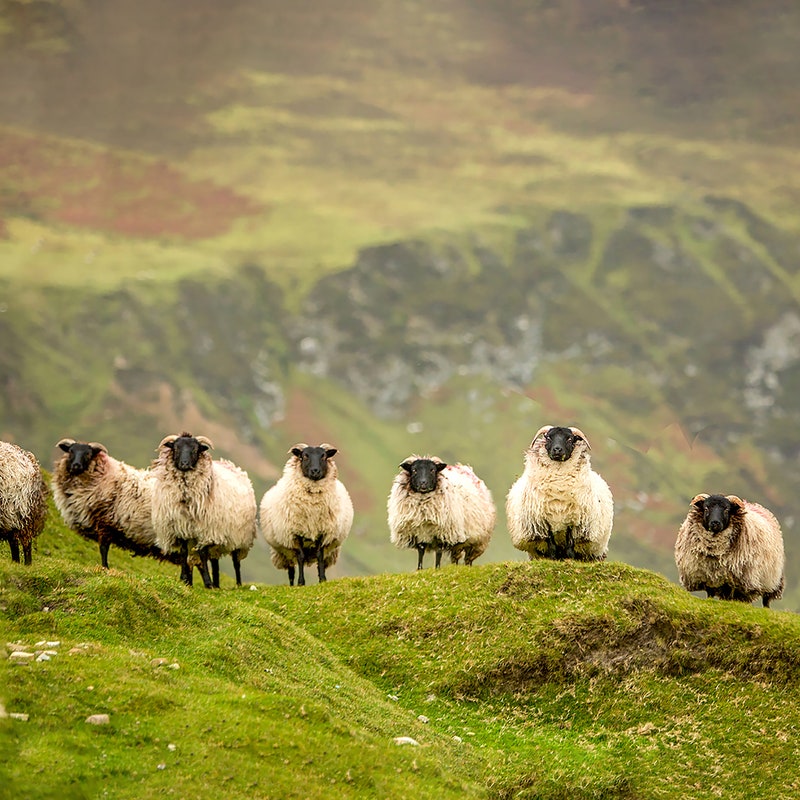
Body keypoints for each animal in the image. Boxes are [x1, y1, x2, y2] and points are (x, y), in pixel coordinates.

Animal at [51, 438, 173, 570]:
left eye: (88, 454)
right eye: (71, 451)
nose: (76, 465)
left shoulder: (105, 522)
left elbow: (103, 548)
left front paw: (105, 568)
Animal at [151, 432, 257, 588]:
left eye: (195, 449)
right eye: (176, 448)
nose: (184, 464)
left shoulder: (204, 530)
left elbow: (202, 554)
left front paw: (207, 582)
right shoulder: (181, 528)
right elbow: (184, 554)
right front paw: (186, 580)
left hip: (239, 536)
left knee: (235, 562)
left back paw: (237, 584)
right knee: (214, 560)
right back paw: (216, 584)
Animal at [259, 443, 353, 586]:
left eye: (324, 456)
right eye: (304, 456)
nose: (315, 471)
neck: (312, 506)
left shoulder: (322, 532)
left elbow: (320, 556)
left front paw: (322, 580)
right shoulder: (295, 533)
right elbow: (301, 557)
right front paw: (301, 583)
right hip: (285, 551)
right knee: (291, 569)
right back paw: (292, 585)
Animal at [506, 425, 613, 561]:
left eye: (570, 439)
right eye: (548, 437)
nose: (557, 449)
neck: (558, 489)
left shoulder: (573, 522)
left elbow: (570, 545)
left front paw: (570, 560)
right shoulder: (544, 522)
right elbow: (551, 544)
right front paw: (552, 558)